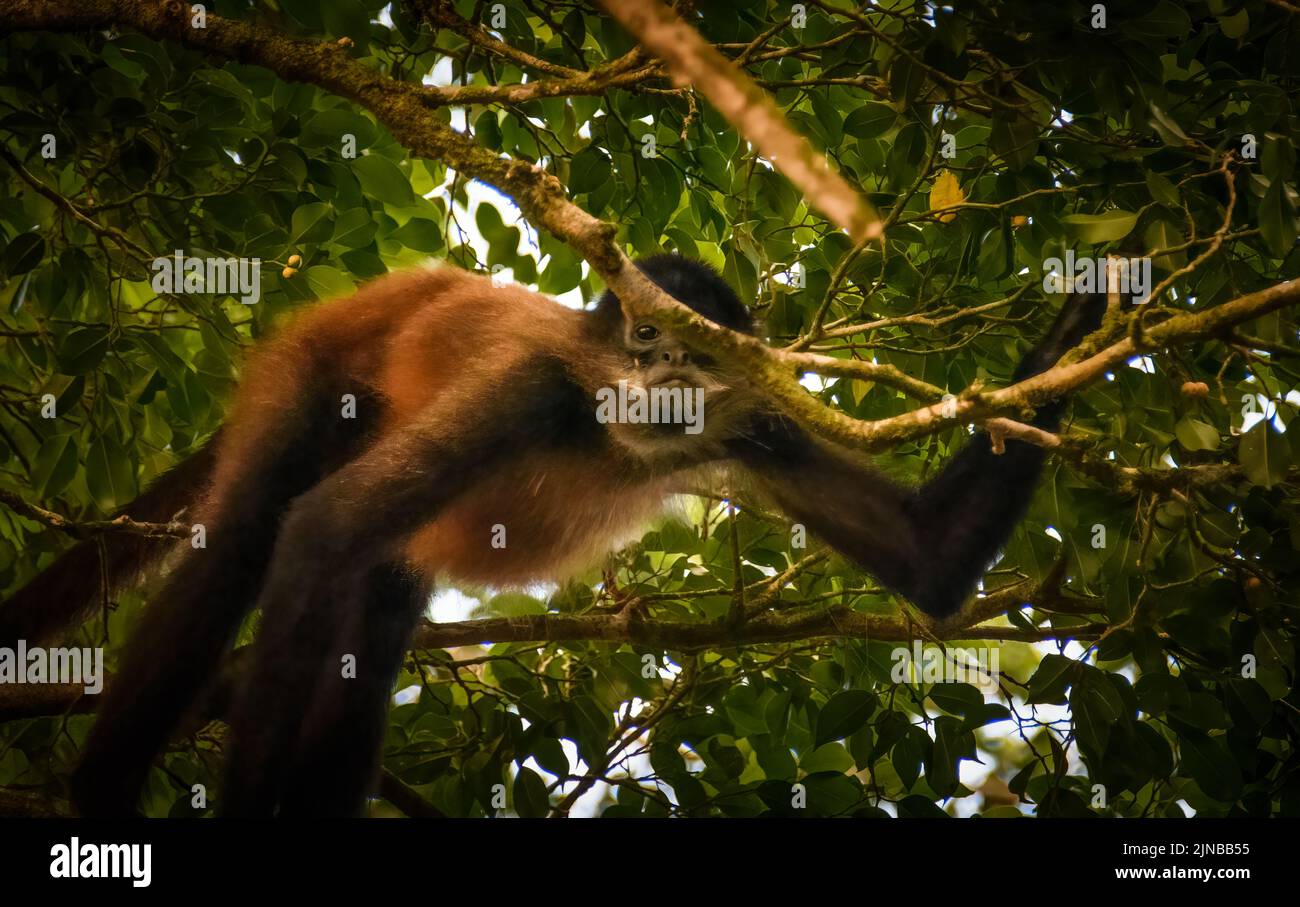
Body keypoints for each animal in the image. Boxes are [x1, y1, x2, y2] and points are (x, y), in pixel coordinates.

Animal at [0, 254, 1104, 817]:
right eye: (645, 337)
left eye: (692, 356)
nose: (661, 374)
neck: (605, 425)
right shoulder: (532, 388)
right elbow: (320, 526)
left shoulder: (750, 420)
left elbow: (931, 560)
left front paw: (1087, 314)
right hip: (313, 369)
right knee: (249, 541)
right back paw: (99, 794)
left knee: (375, 609)